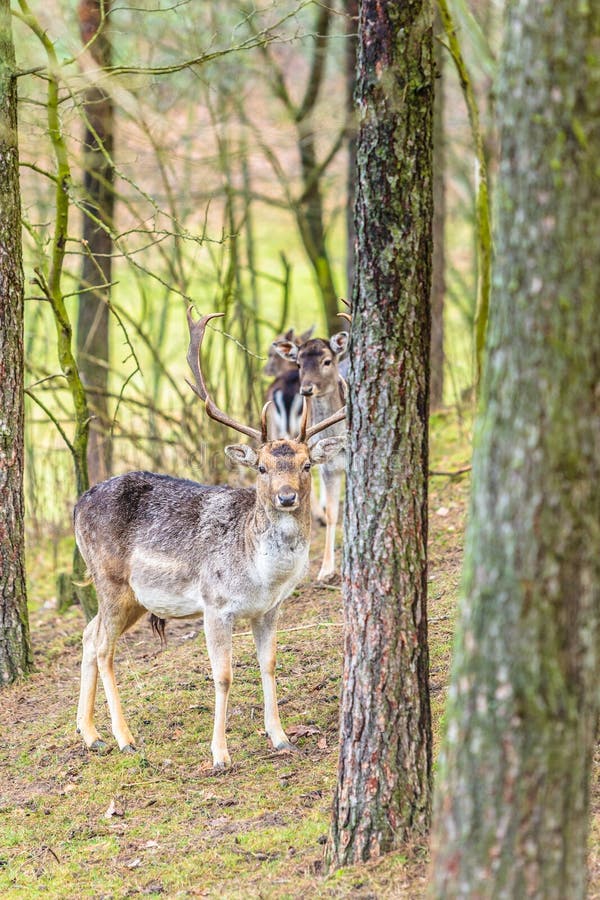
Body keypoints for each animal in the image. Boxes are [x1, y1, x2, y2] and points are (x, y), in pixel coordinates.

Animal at [273, 311, 351, 582]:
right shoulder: (329, 467)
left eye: (326, 361)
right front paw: (326, 570)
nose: (306, 388)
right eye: (298, 363)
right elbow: (333, 514)